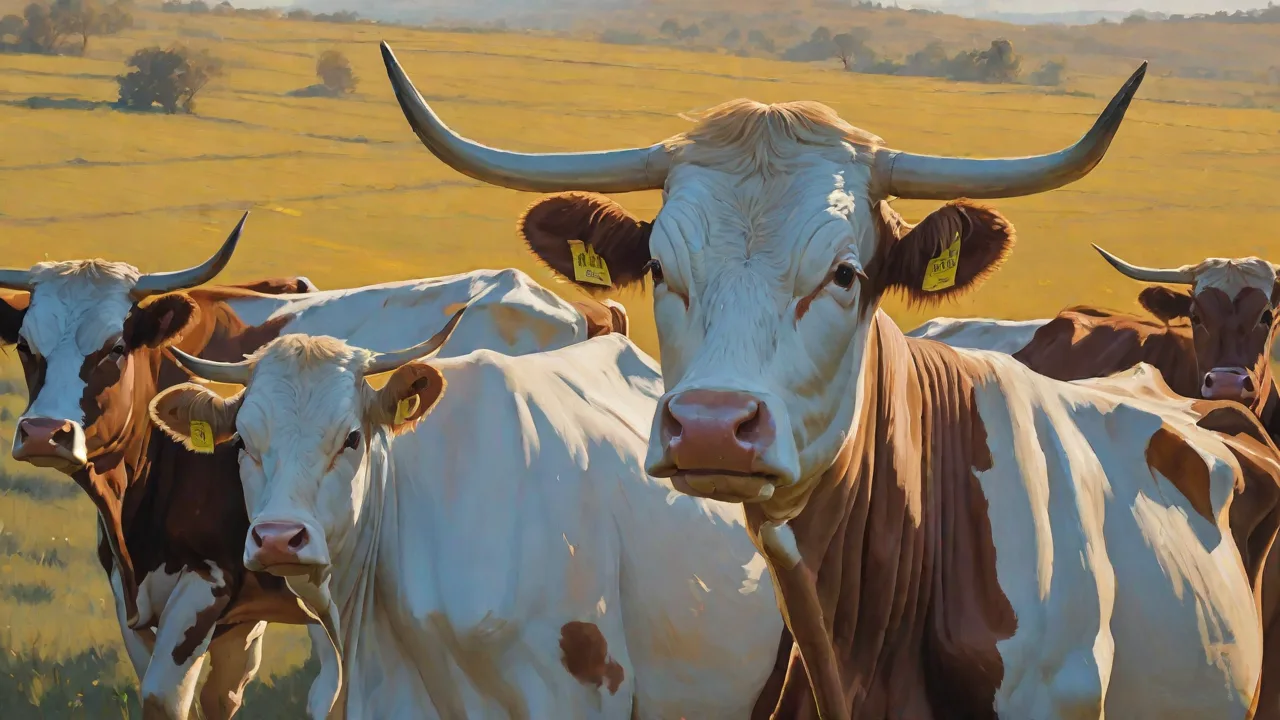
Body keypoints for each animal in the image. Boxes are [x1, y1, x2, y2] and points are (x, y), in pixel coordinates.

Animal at [0, 218, 632, 718]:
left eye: (113, 348)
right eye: (26, 347)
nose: (45, 433)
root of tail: (582, 309)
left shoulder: (207, 581)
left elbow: (164, 697)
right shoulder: (158, 599)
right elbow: (220, 697)